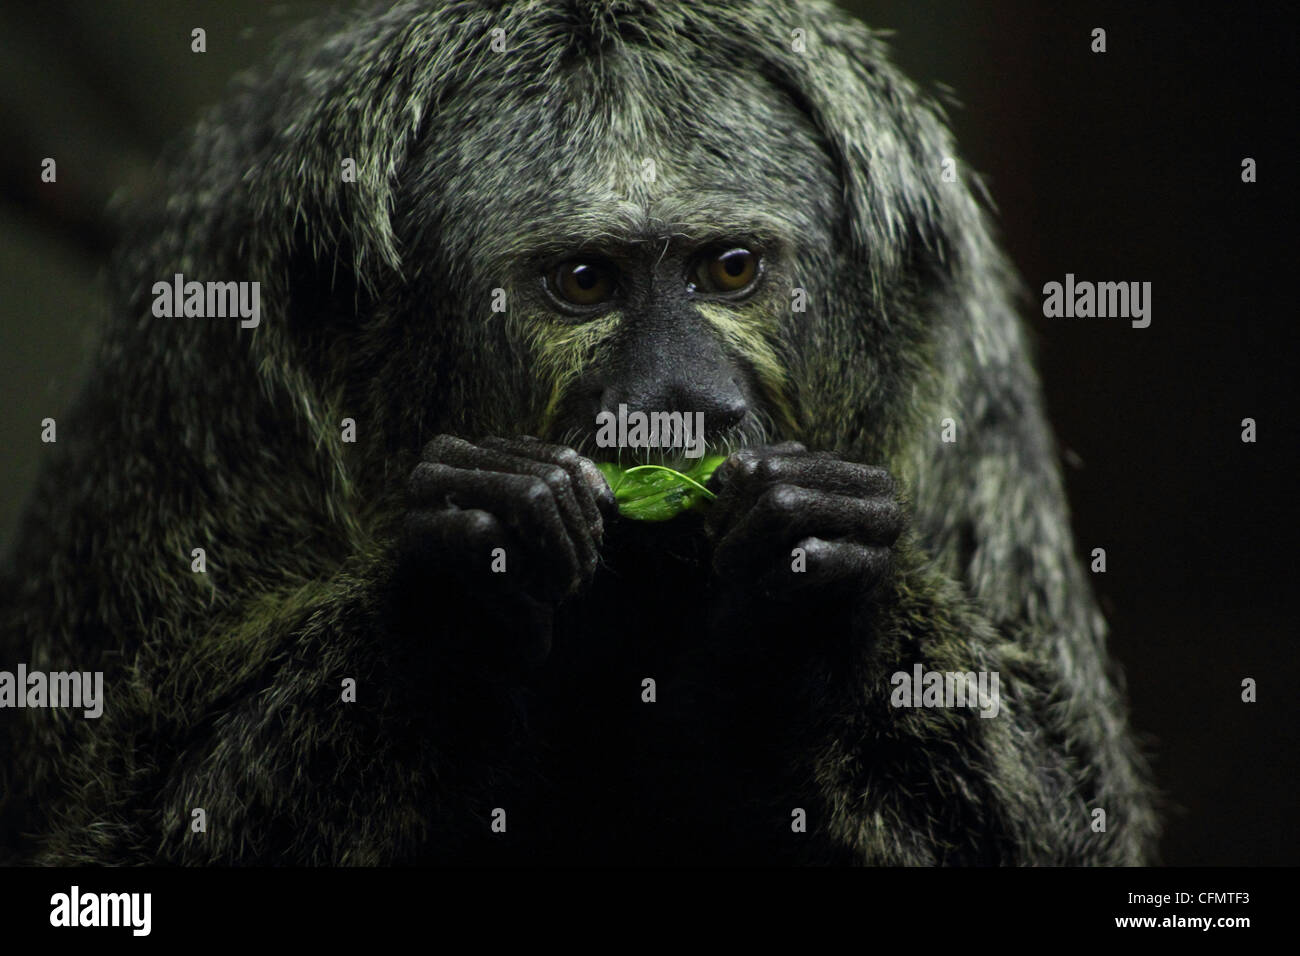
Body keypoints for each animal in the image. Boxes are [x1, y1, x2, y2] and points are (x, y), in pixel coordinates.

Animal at [0, 0, 1158, 865]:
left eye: (729, 269)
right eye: (586, 281)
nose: (677, 394)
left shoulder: (964, 375)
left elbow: (1067, 823)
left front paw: (830, 579)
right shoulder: (202, 369)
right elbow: (118, 827)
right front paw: (458, 581)